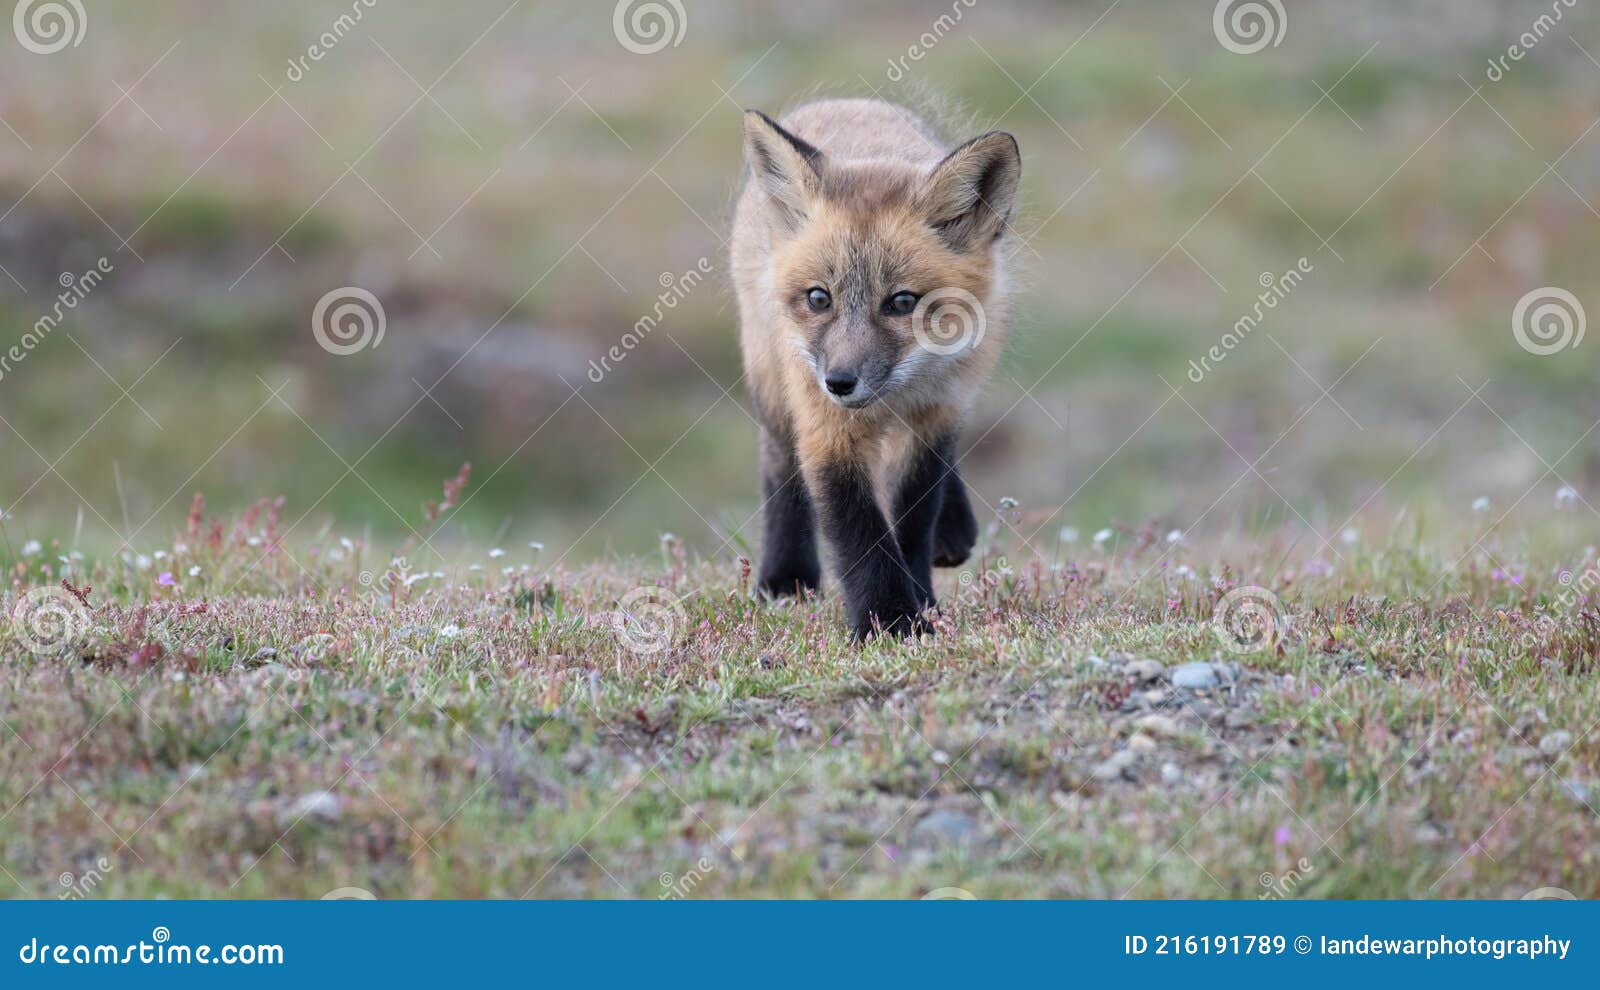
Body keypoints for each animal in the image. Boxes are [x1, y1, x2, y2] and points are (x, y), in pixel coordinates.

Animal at [730, 98, 1021, 640]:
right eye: (818, 297)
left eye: (902, 302)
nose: (839, 383)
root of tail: (846, 101)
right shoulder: (826, 427)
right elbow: (860, 531)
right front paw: (889, 621)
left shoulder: (936, 413)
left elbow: (914, 518)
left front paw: (920, 603)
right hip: (771, 381)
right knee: (780, 468)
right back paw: (785, 580)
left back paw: (953, 531)